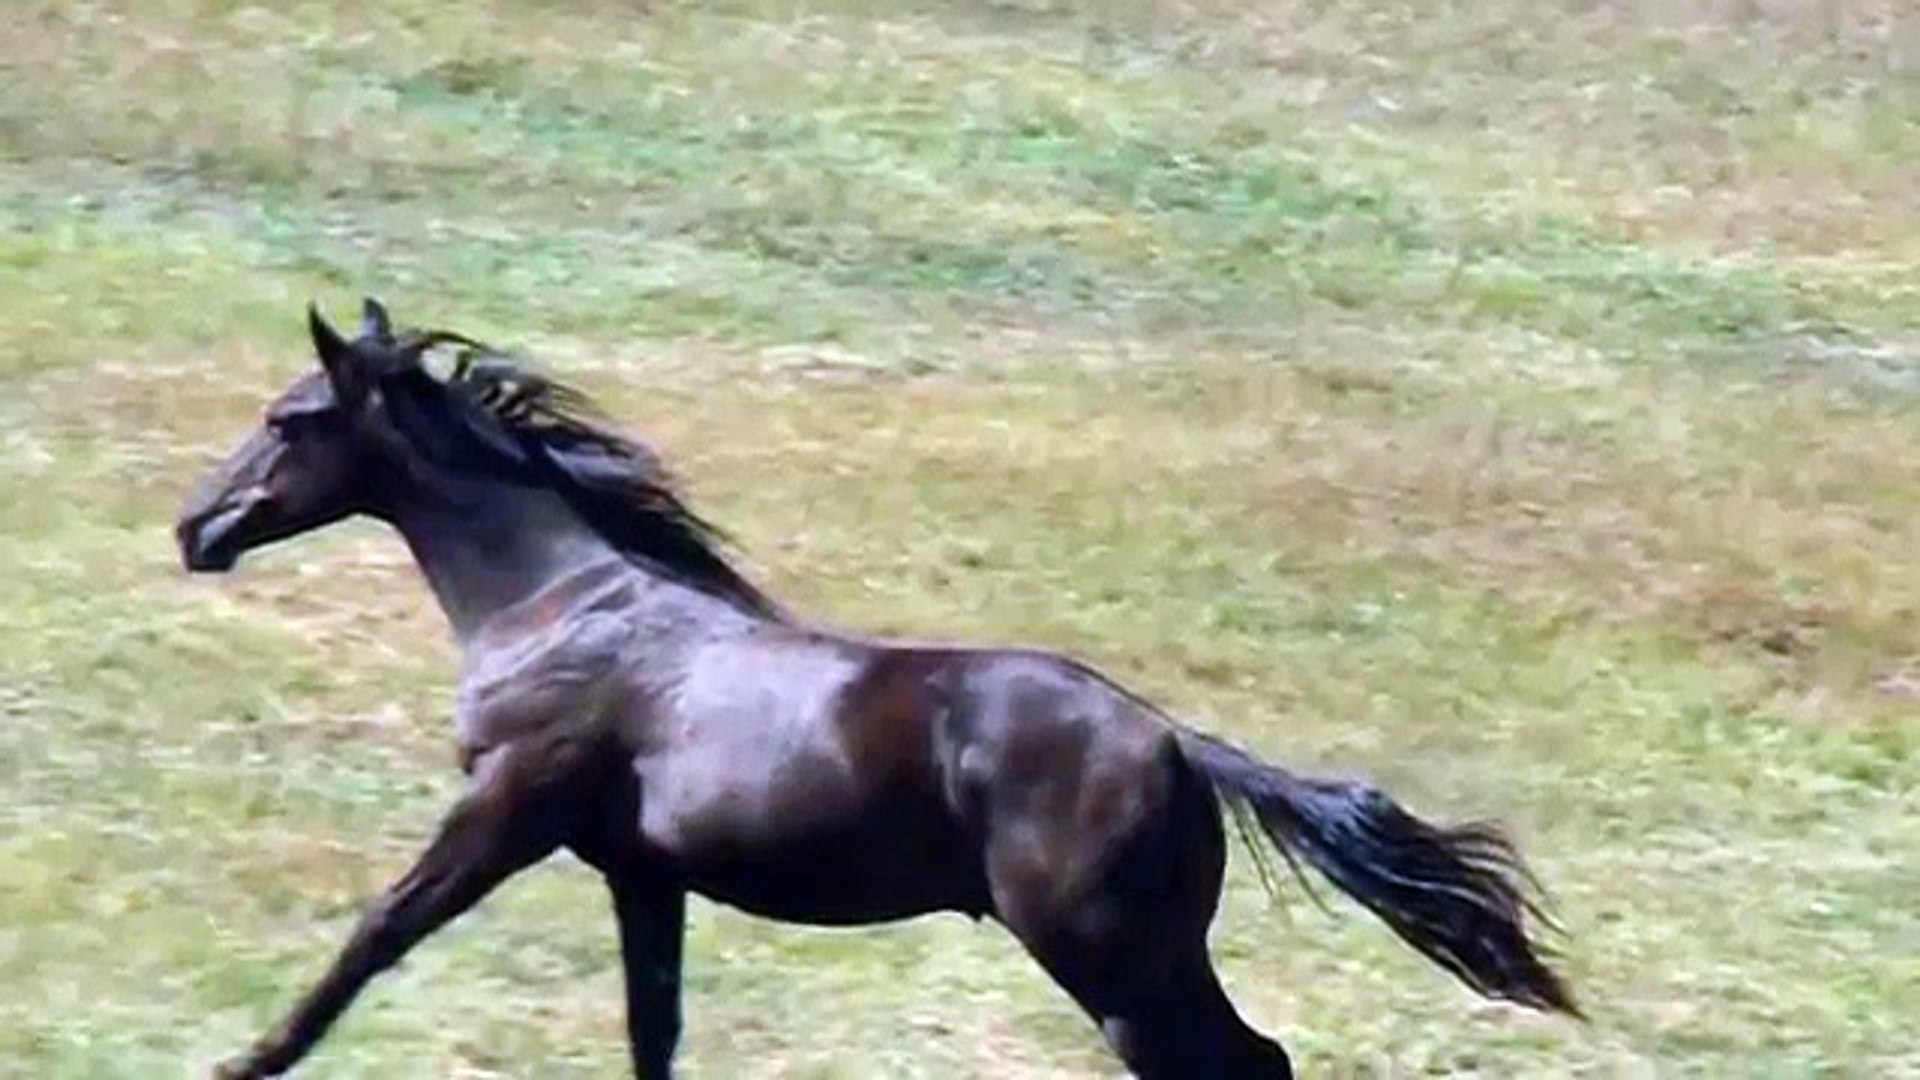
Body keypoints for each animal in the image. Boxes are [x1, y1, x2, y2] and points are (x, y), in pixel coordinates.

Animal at [176, 299, 1578, 1079]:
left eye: (290, 420)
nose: (196, 529)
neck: (561, 604)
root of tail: (1183, 747)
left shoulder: (506, 814)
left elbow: (374, 939)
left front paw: (241, 1060)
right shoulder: (640, 873)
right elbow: (652, 1029)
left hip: (1112, 960)